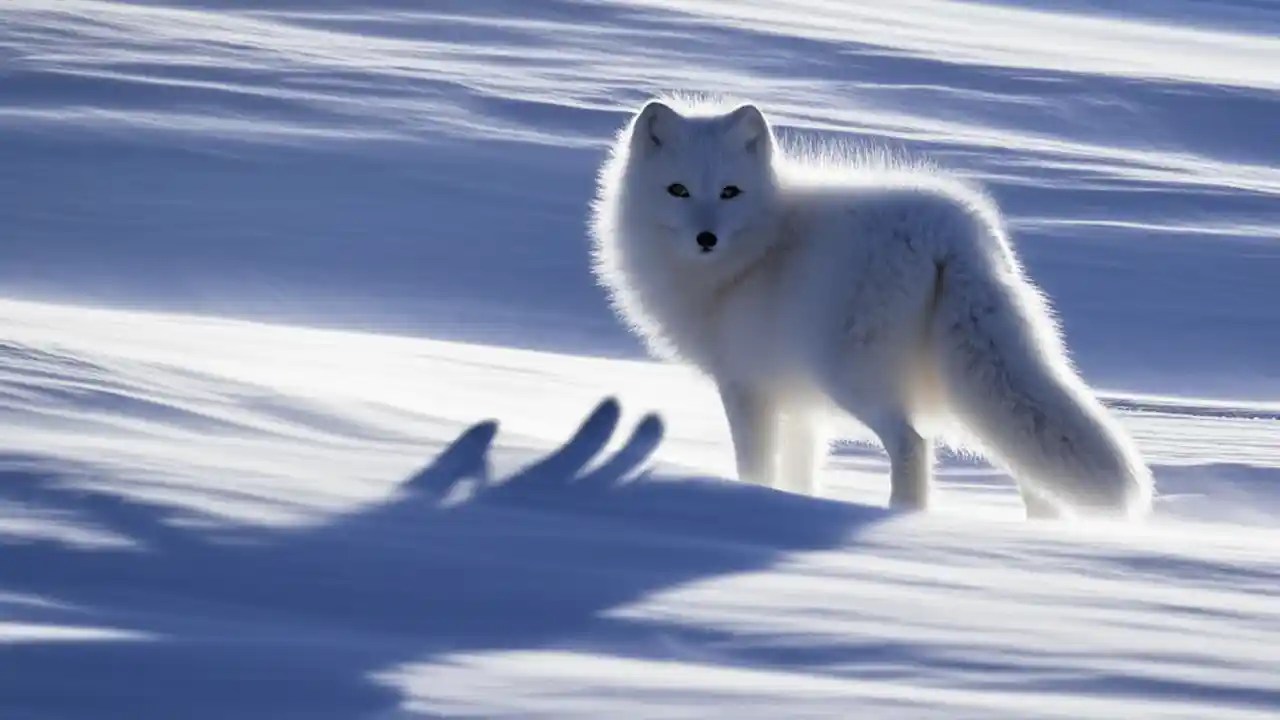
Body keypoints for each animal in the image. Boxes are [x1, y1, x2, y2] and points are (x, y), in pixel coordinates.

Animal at [590, 97, 1153, 519]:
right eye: (678, 190)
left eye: (730, 192)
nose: (706, 238)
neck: (759, 249)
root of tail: (946, 233)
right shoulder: (799, 399)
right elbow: (801, 471)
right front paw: (798, 503)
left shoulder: (744, 386)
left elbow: (756, 465)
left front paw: (755, 498)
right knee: (1028, 472)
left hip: (855, 377)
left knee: (913, 445)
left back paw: (901, 517)